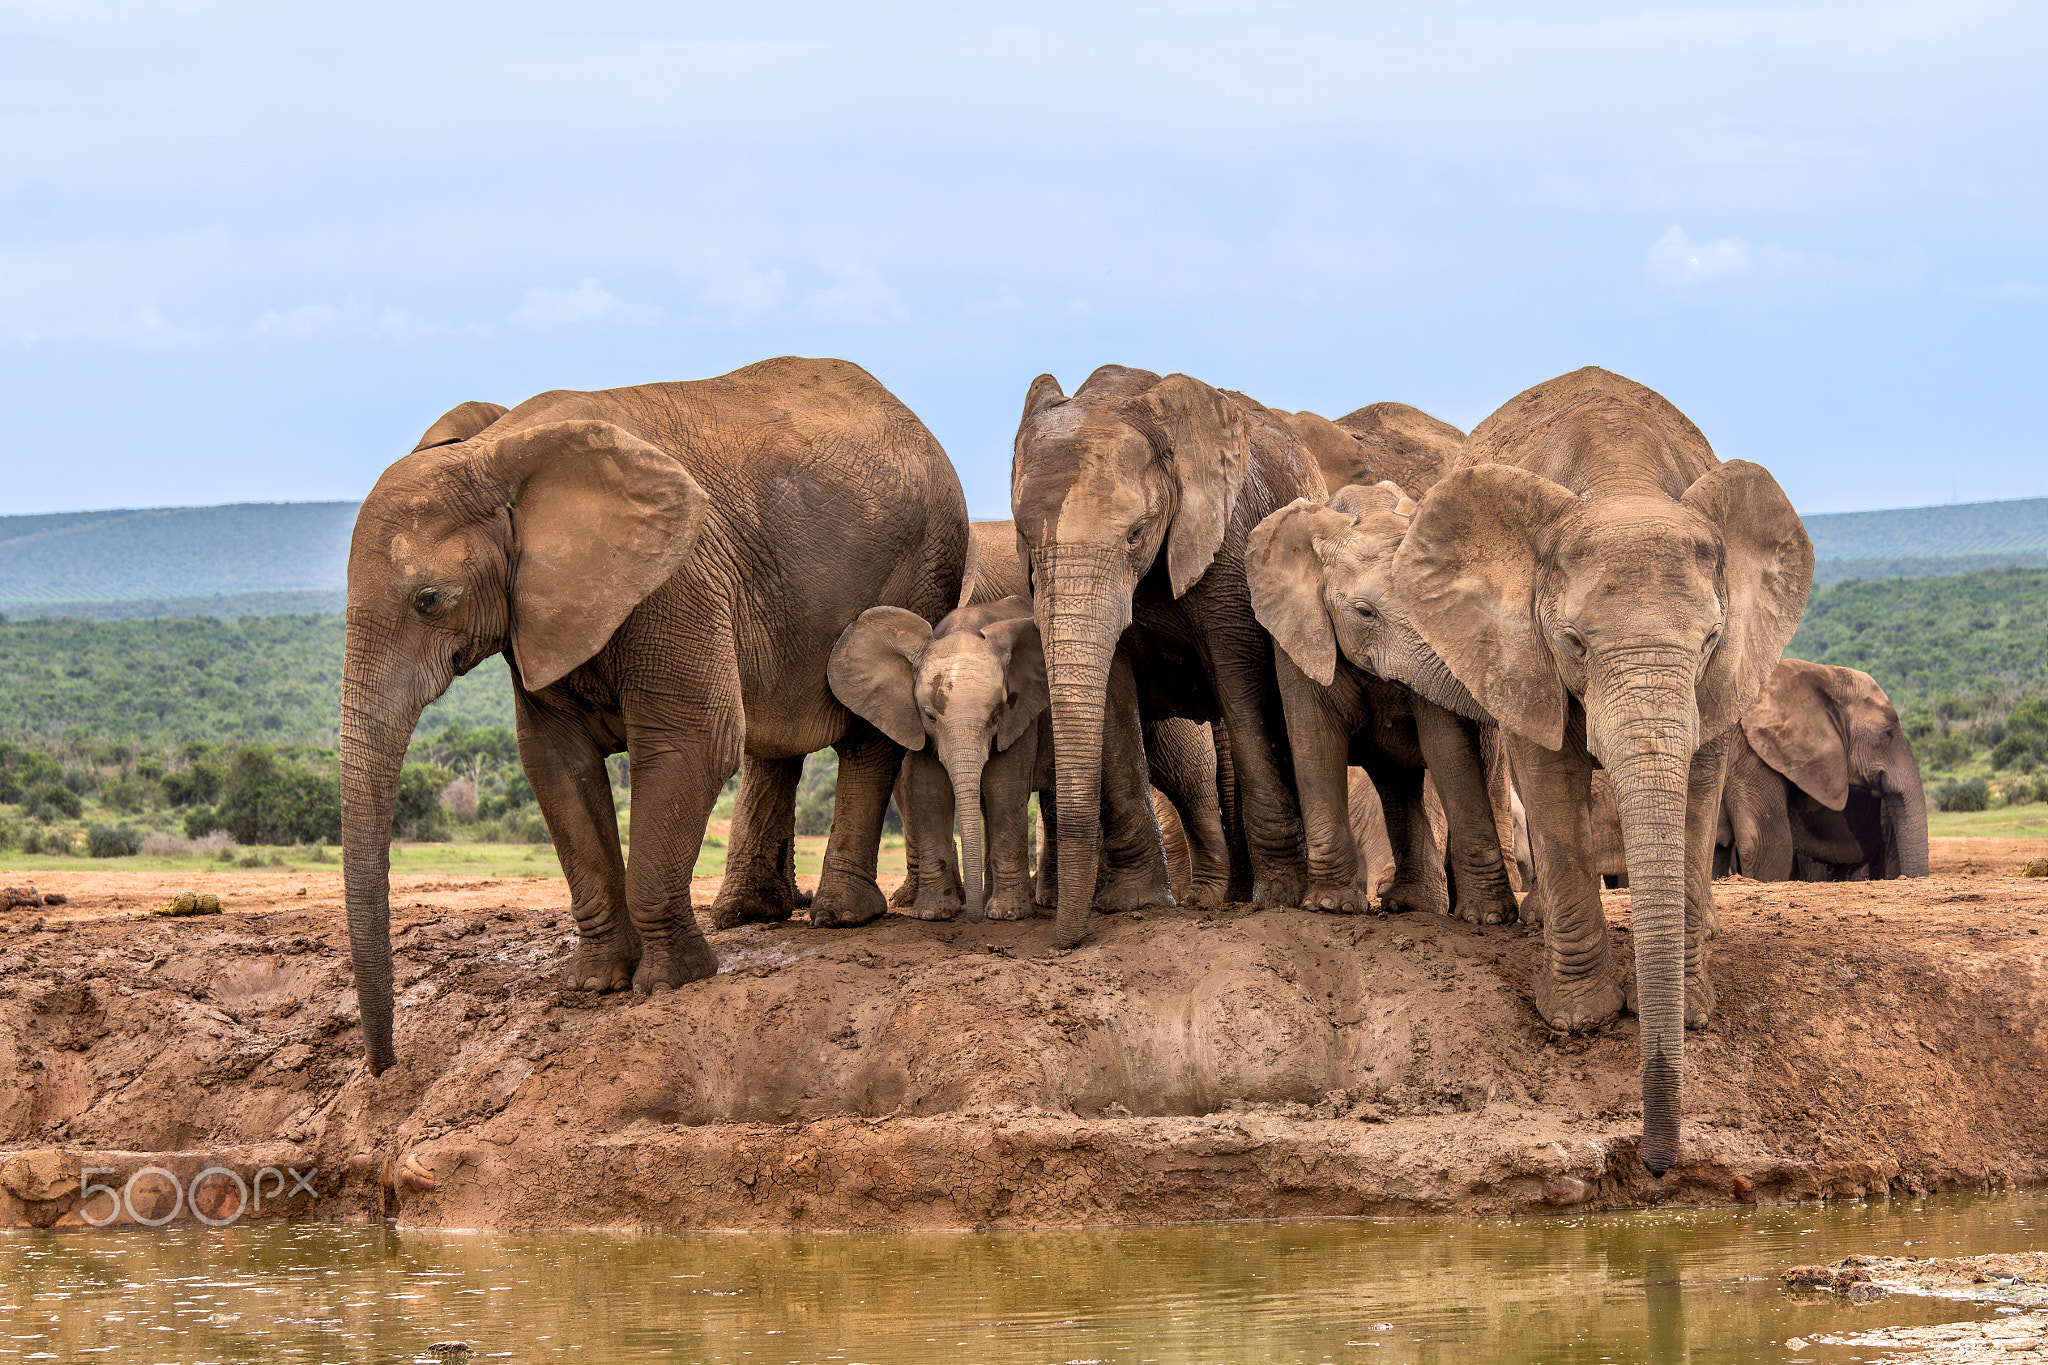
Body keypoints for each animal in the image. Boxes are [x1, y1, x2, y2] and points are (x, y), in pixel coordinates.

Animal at [341, 357, 967, 1074]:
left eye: (428, 600)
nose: (384, 1068)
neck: (500, 454)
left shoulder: (679, 578)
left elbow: (692, 742)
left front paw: (672, 982)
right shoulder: (540, 613)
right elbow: (555, 765)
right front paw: (597, 984)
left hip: (920, 568)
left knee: (867, 736)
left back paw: (840, 919)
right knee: (773, 742)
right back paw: (749, 915)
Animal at [830, 595, 1049, 921]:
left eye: (996, 716)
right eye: (930, 716)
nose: (973, 919)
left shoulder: (1020, 715)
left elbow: (1005, 787)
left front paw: (1007, 914)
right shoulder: (913, 722)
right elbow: (928, 790)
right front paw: (934, 913)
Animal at [1012, 366, 1324, 947]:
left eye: (1136, 533)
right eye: (1023, 537)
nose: (1064, 941)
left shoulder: (1229, 543)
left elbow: (1241, 683)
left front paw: (1281, 900)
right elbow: (1113, 699)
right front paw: (1136, 904)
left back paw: (1241, 898)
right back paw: (1223, 897)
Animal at [1248, 482, 1520, 923]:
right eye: (1364, 612)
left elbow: (1449, 750)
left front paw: (1489, 918)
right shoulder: (1297, 639)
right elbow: (1315, 744)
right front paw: (1330, 906)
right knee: (1396, 780)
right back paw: (1411, 904)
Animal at [1383, 366, 1812, 1174]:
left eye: (1709, 640)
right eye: (1576, 643)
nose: (1656, 1164)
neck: (1622, 484)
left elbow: (1700, 779)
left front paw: (1688, 1008)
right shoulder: (1524, 641)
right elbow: (1548, 773)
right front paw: (1581, 1018)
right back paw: (1526, 923)